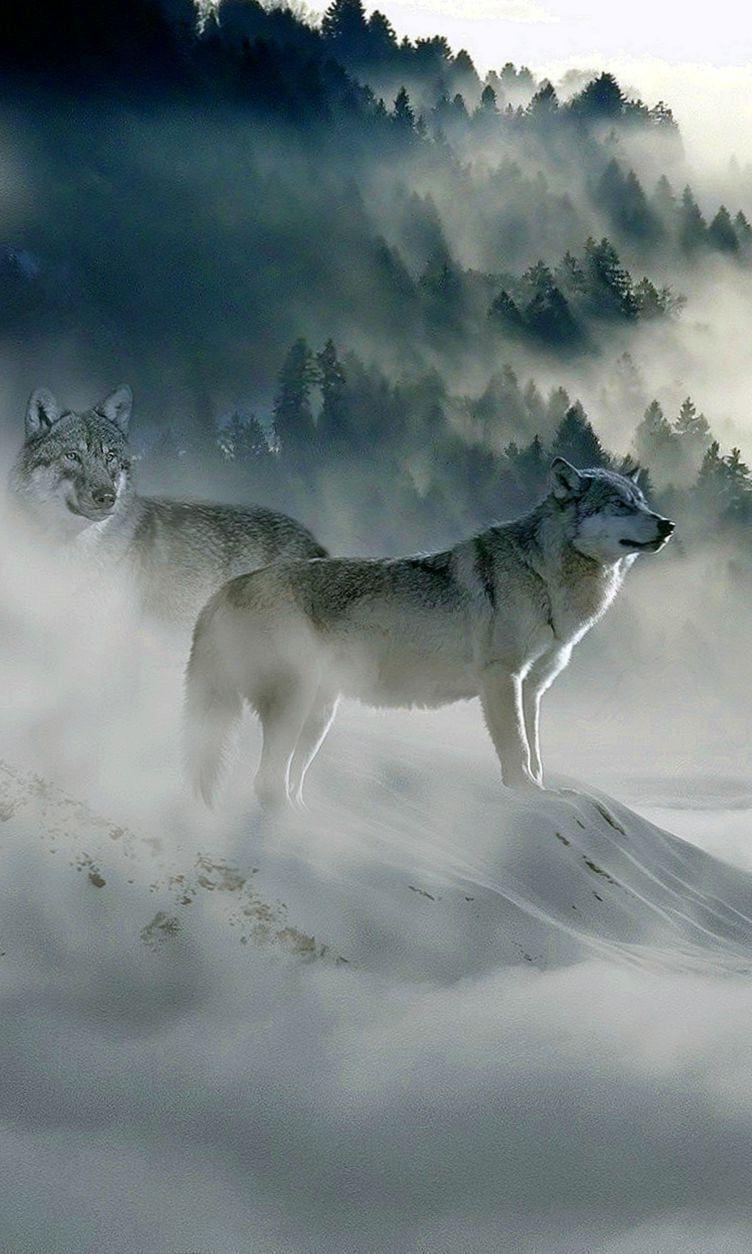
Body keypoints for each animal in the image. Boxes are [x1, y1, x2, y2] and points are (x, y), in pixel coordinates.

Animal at [185, 458, 674, 808]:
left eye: (641, 501)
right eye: (620, 505)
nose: (667, 524)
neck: (546, 577)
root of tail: (224, 590)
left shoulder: (533, 687)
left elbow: (536, 753)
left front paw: (546, 791)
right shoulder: (502, 678)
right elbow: (517, 751)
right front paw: (527, 795)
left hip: (319, 717)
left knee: (285, 781)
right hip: (296, 705)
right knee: (266, 783)